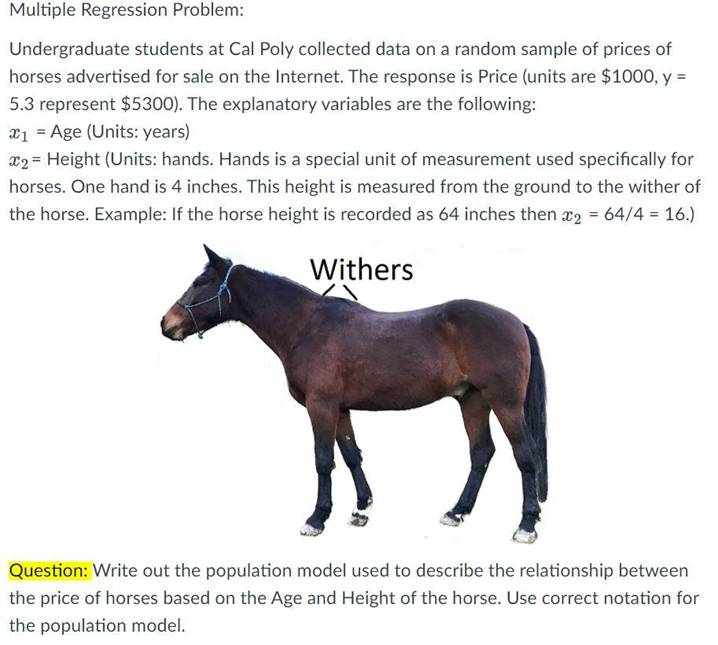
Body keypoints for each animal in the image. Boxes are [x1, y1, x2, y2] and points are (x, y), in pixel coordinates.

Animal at [161, 245, 548, 542]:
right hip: (472, 401)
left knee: (525, 455)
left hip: (504, 403)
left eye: (200, 283)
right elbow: (351, 456)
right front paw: (361, 509)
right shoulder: (340, 409)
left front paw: (317, 518)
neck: (306, 326)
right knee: (482, 452)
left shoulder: (320, 406)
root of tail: (516, 322)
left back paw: (526, 525)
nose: (166, 323)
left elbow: (323, 460)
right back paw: (457, 511)